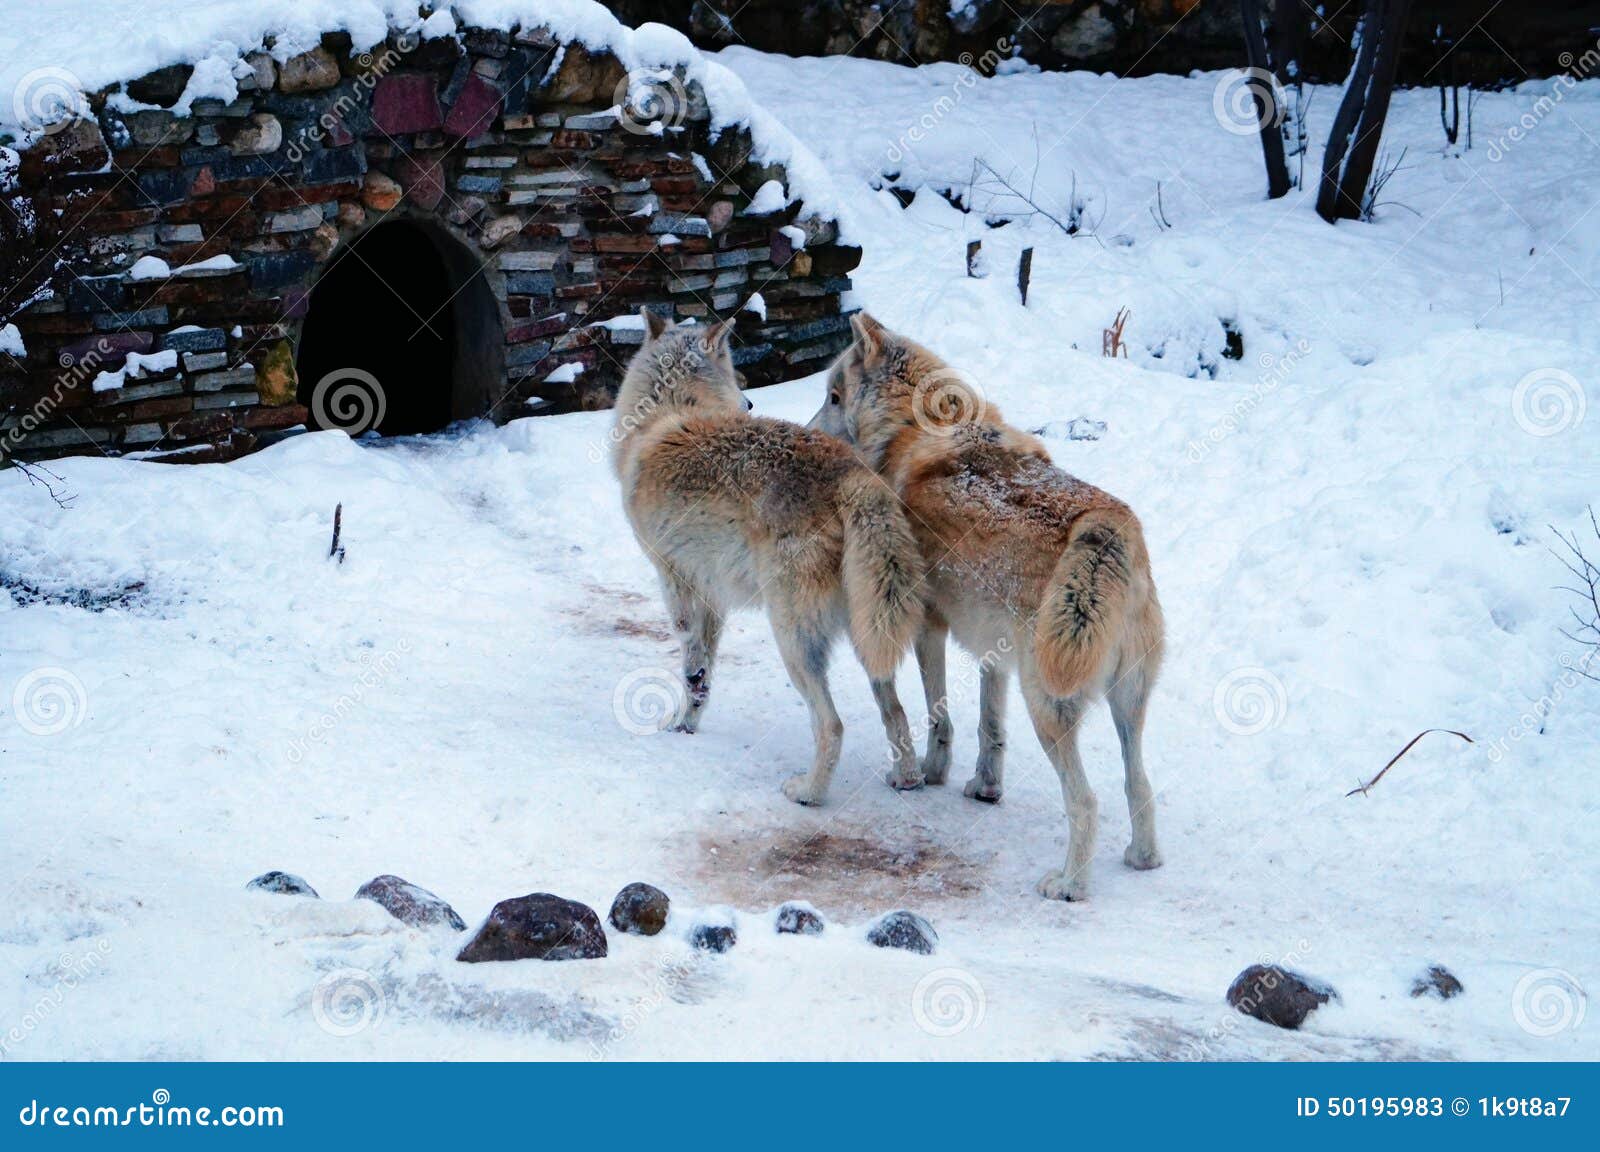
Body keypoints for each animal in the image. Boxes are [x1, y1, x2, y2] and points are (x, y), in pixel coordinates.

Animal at [612, 308, 926, 804]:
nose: (748, 404)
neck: (671, 410)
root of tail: (852, 474)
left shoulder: (674, 577)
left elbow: (688, 653)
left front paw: (681, 718)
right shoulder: (713, 593)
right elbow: (705, 667)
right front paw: (689, 722)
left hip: (793, 639)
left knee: (832, 725)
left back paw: (808, 792)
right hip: (871, 634)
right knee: (895, 712)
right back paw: (907, 779)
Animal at [808, 313, 1165, 900]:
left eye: (833, 397)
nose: (810, 431)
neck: (917, 425)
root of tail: (1115, 526)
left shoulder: (927, 626)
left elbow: (939, 715)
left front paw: (929, 774)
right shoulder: (993, 654)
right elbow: (988, 727)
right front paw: (983, 786)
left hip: (1049, 708)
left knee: (1086, 801)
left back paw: (1069, 885)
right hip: (1126, 705)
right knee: (1139, 782)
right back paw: (1142, 859)